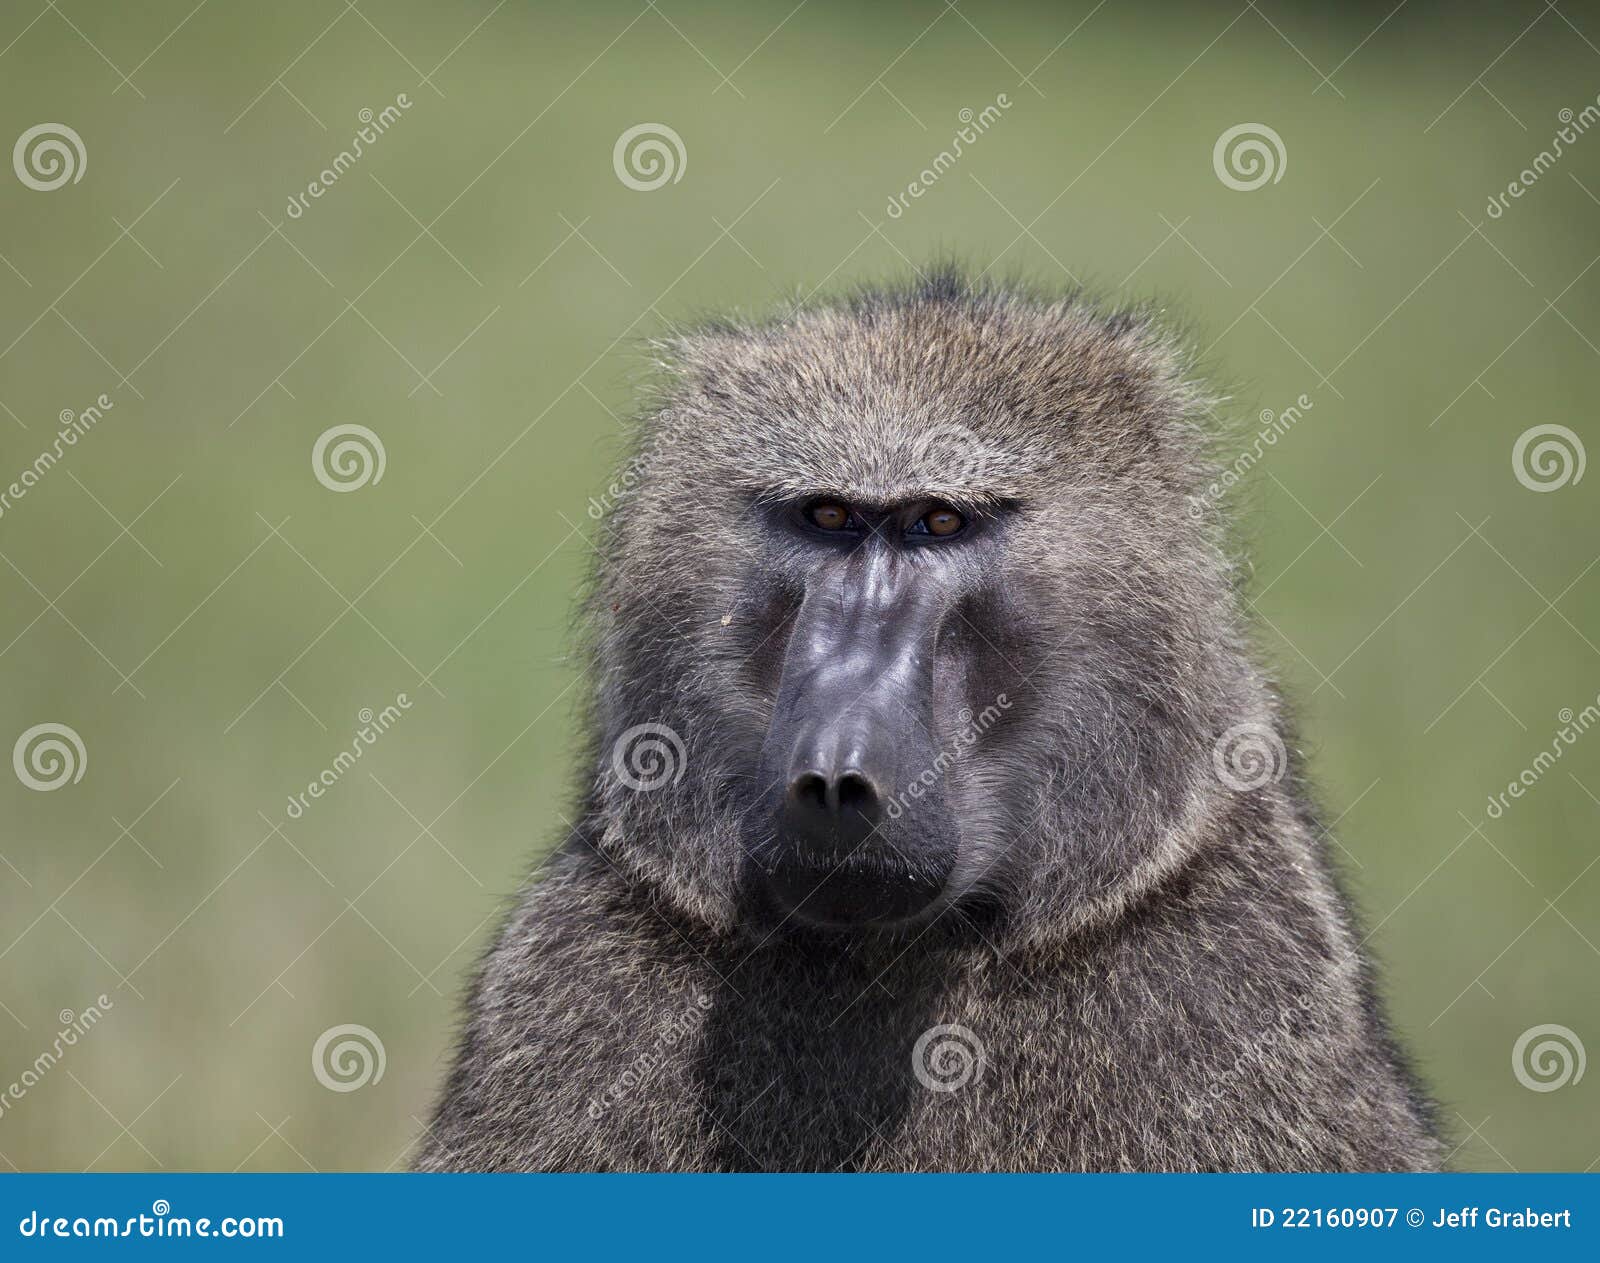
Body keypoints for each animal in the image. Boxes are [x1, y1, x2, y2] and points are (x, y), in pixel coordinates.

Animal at [413, 269, 1444, 1173]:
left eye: (939, 523)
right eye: (828, 517)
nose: (836, 775)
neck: (901, 956)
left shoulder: (1245, 968)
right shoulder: (578, 974)